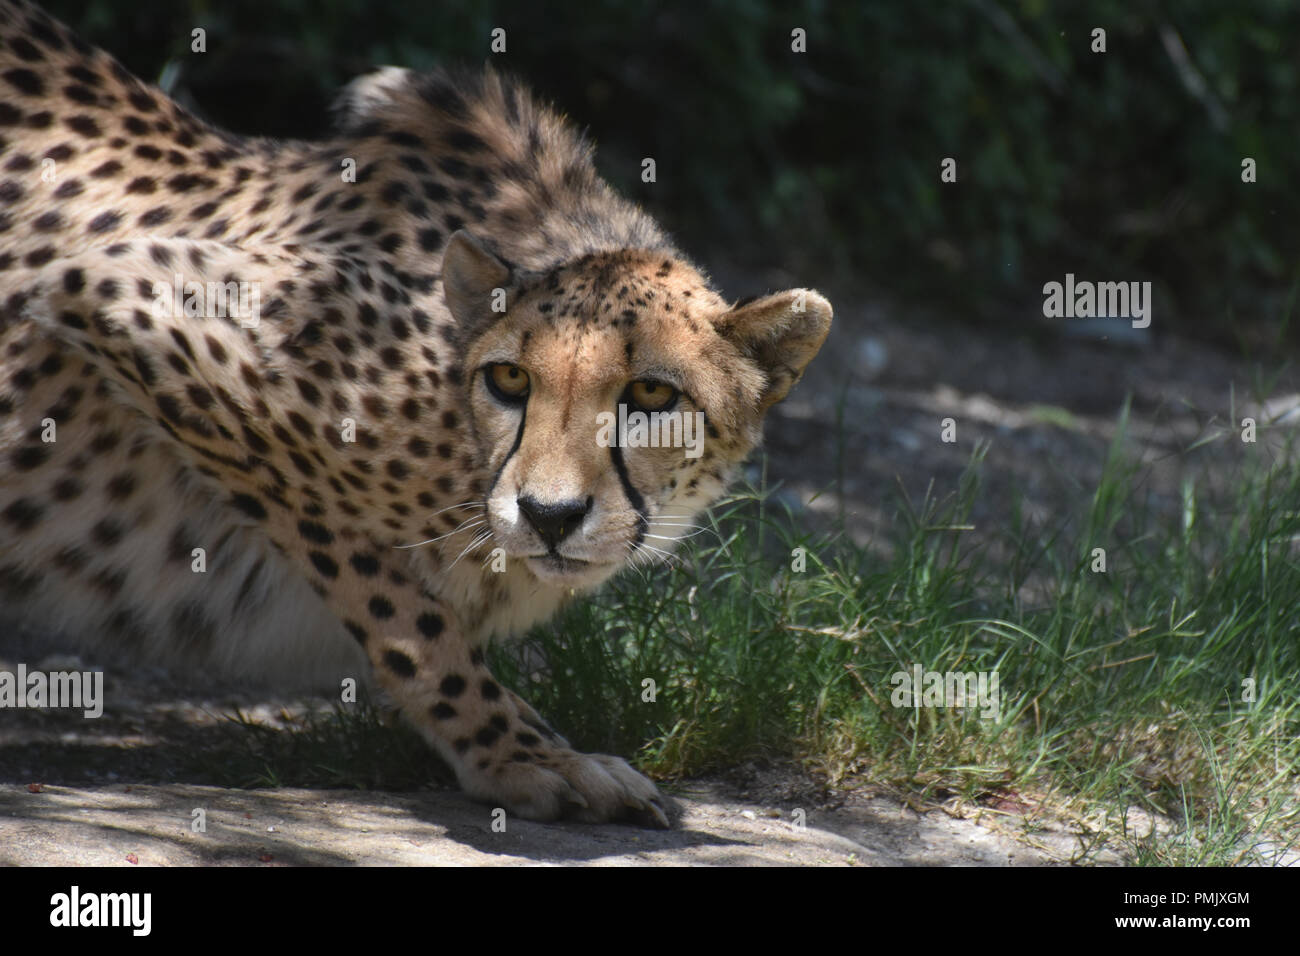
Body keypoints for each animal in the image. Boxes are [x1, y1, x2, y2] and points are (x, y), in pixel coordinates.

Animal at [0, 0, 832, 826]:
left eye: (654, 395)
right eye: (509, 379)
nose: (550, 516)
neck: (456, 435)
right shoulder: (127, 296)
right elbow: (404, 610)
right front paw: (523, 755)